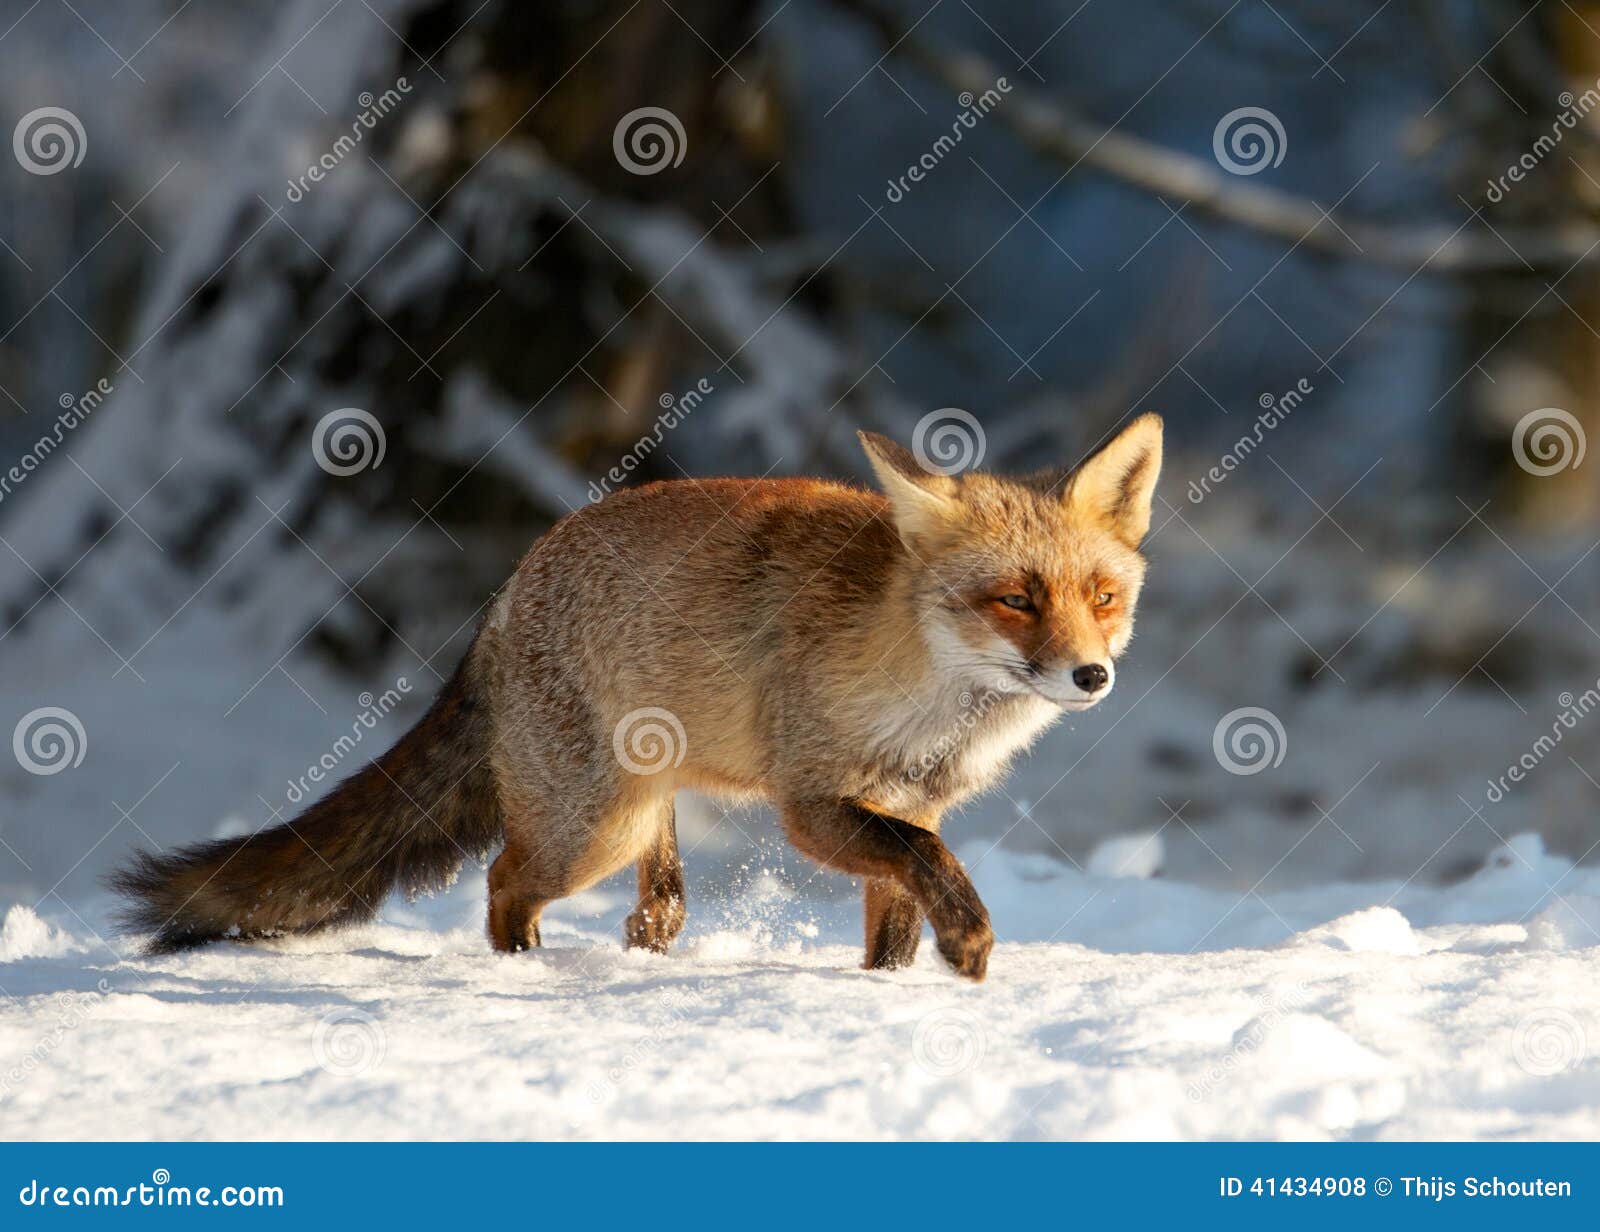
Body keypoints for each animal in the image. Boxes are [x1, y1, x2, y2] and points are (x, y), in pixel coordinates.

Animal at [110, 414, 1163, 980]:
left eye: (1103, 598)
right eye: (1015, 600)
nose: (1092, 675)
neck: (930, 703)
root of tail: (510, 587)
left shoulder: (910, 803)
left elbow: (902, 913)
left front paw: (896, 992)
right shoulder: (816, 805)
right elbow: (930, 863)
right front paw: (970, 943)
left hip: (640, 812)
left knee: (651, 910)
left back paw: (631, 952)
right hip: (592, 830)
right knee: (501, 881)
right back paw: (525, 970)